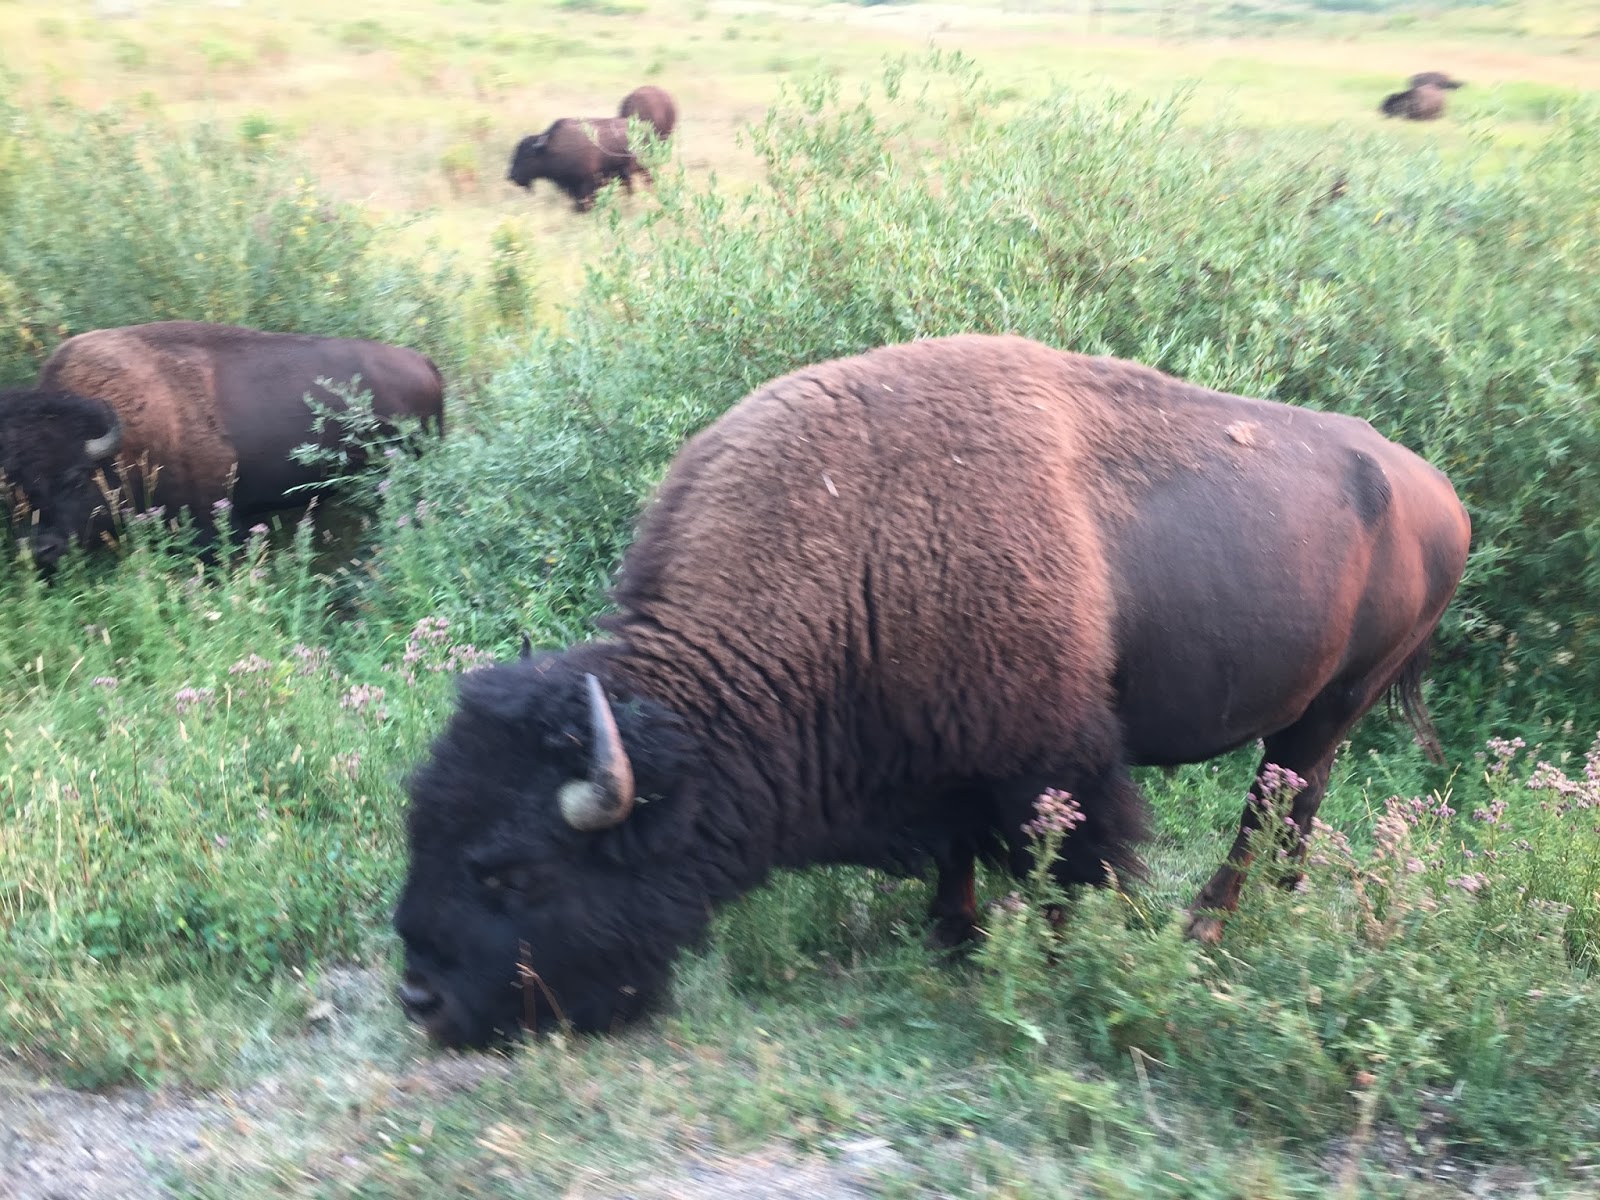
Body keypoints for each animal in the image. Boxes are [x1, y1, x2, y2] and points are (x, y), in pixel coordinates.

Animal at [394, 333, 1471, 1049]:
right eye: (422, 829)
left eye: (511, 872)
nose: (420, 1001)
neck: (847, 552)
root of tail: (1435, 491)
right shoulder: (952, 749)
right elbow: (959, 850)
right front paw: (953, 937)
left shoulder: (1055, 757)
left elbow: (1076, 857)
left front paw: (1051, 960)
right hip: (1319, 715)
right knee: (1291, 807)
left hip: (1330, 708)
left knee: (1272, 806)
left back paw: (1208, 925)